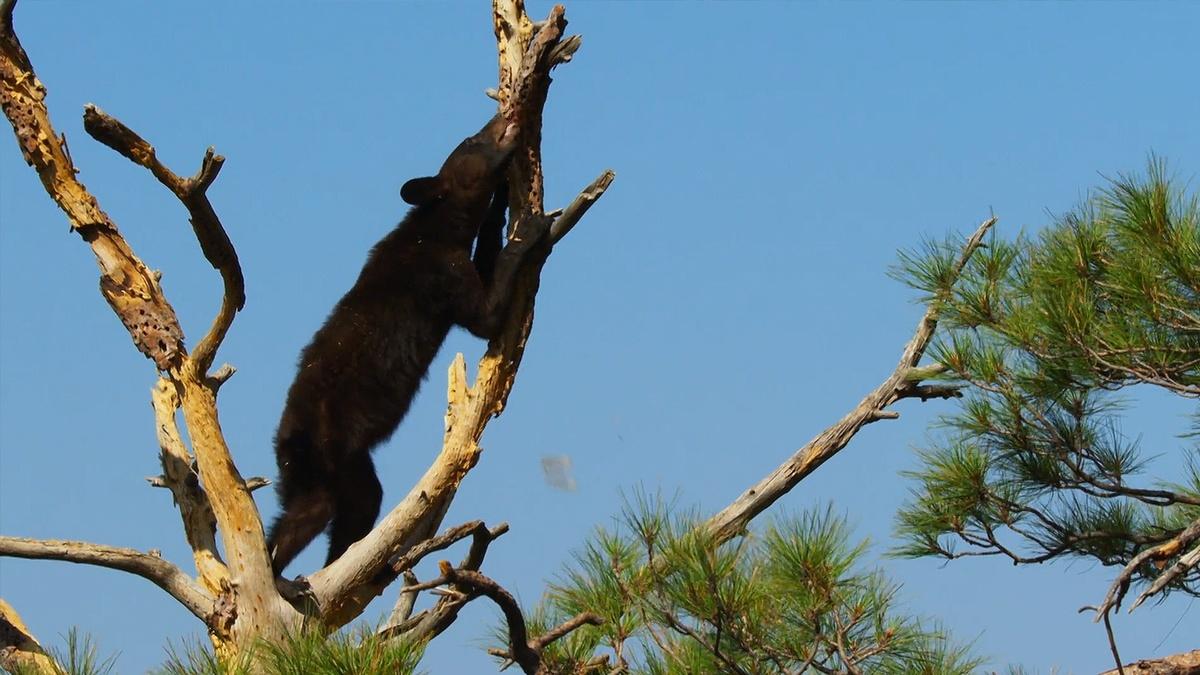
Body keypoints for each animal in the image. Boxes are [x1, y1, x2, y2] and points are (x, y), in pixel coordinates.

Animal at [266, 113, 549, 575]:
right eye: (471, 141)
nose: (502, 118)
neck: (433, 229)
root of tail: (282, 440)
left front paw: (501, 202)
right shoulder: (442, 271)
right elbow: (486, 316)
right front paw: (531, 232)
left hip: (347, 465)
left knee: (357, 504)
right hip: (323, 452)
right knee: (311, 512)